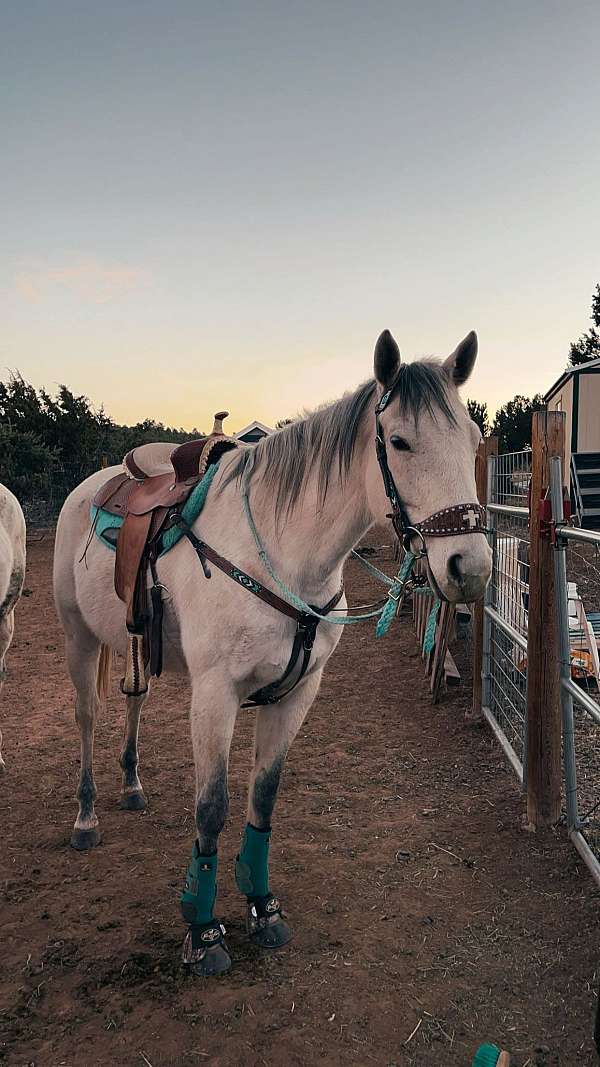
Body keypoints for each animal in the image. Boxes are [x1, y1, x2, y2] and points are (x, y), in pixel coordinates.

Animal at [53, 329, 492, 975]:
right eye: (400, 441)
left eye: (474, 440)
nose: (470, 568)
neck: (285, 556)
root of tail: (90, 486)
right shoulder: (215, 696)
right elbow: (211, 807)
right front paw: (202, 929)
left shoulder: (297, 692)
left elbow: (264, 797)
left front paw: (262, 906)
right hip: (79, 639)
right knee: (87, 717)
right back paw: (86, 817)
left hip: (134, 639)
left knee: (135, 699)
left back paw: (131, 785)